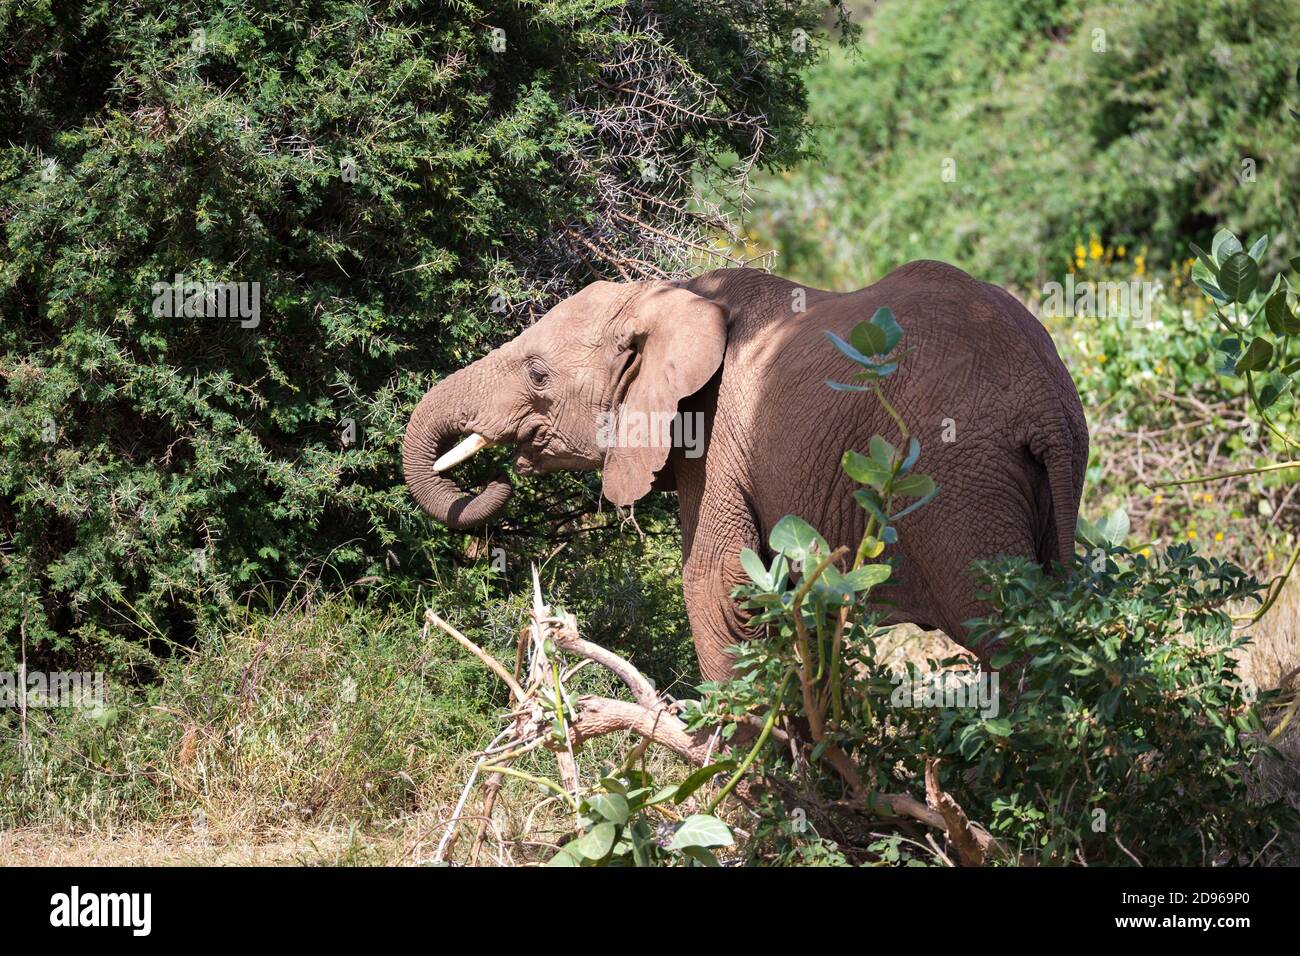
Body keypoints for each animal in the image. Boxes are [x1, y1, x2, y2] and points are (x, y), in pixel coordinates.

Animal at [403, 260, 1088, 681]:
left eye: (538, 374)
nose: (498, 478)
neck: (671, 296)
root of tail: (1047, 402)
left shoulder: (718, 434)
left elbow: (717, 585)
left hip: (958, 478)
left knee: (1001, 630)